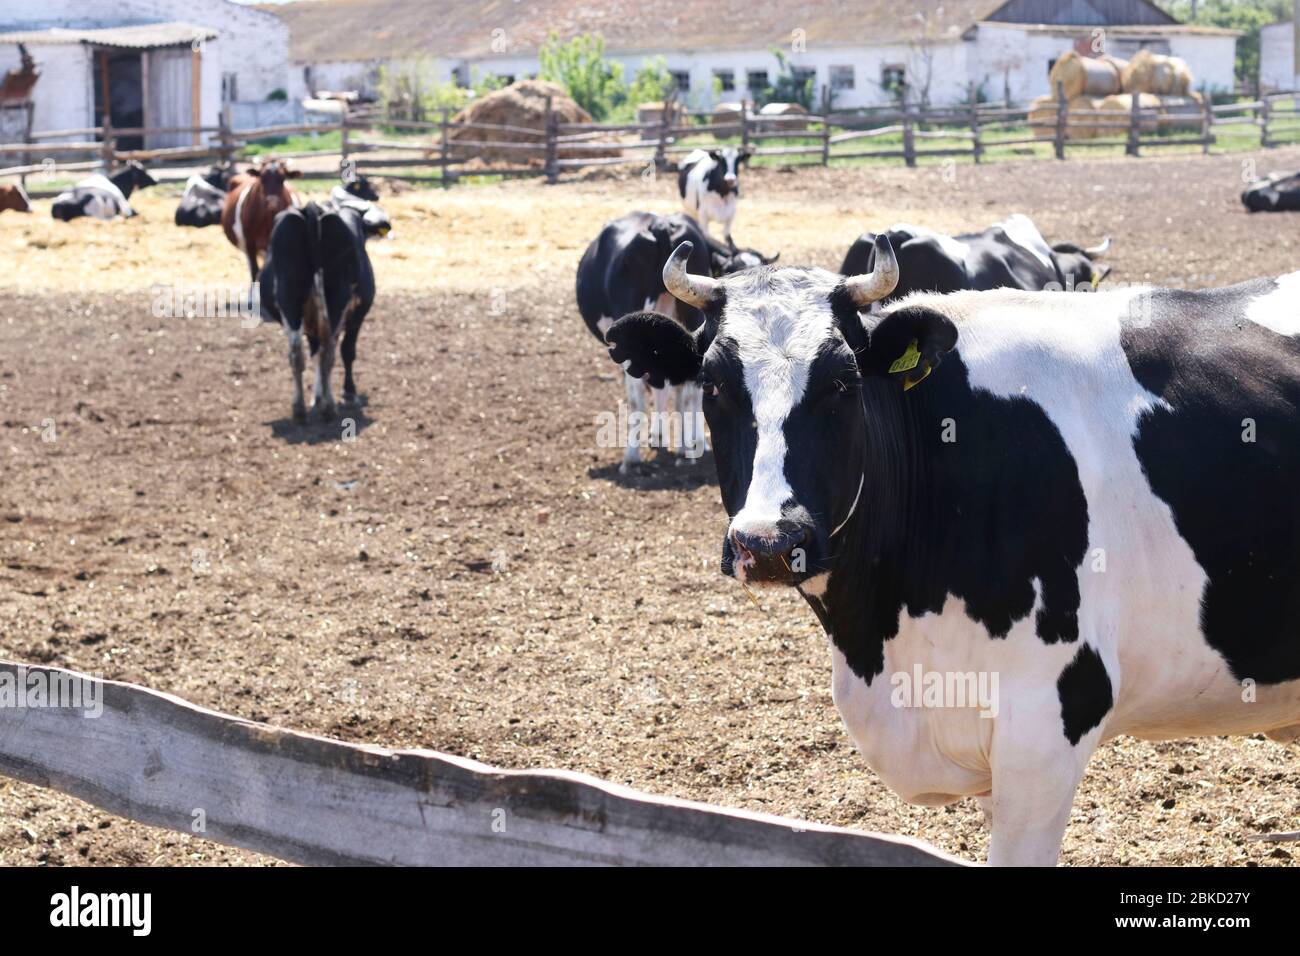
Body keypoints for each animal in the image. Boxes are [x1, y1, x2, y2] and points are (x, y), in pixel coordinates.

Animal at [258, 200, 377, 423]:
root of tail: (313, 209)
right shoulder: (358, 313)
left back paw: (299, 409)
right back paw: (328, 408)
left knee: (297, 352)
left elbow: (313, 354)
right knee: (328, 351)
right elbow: (347, 352)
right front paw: (348, 394)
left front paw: (316, 396)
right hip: (336, 301)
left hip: (289, 300)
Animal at [576, 210, 775, 471]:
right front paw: (677, 440)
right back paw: (689, 447)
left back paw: (633, 457)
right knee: (688, 390)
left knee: (640, 397)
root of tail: (661, 225)